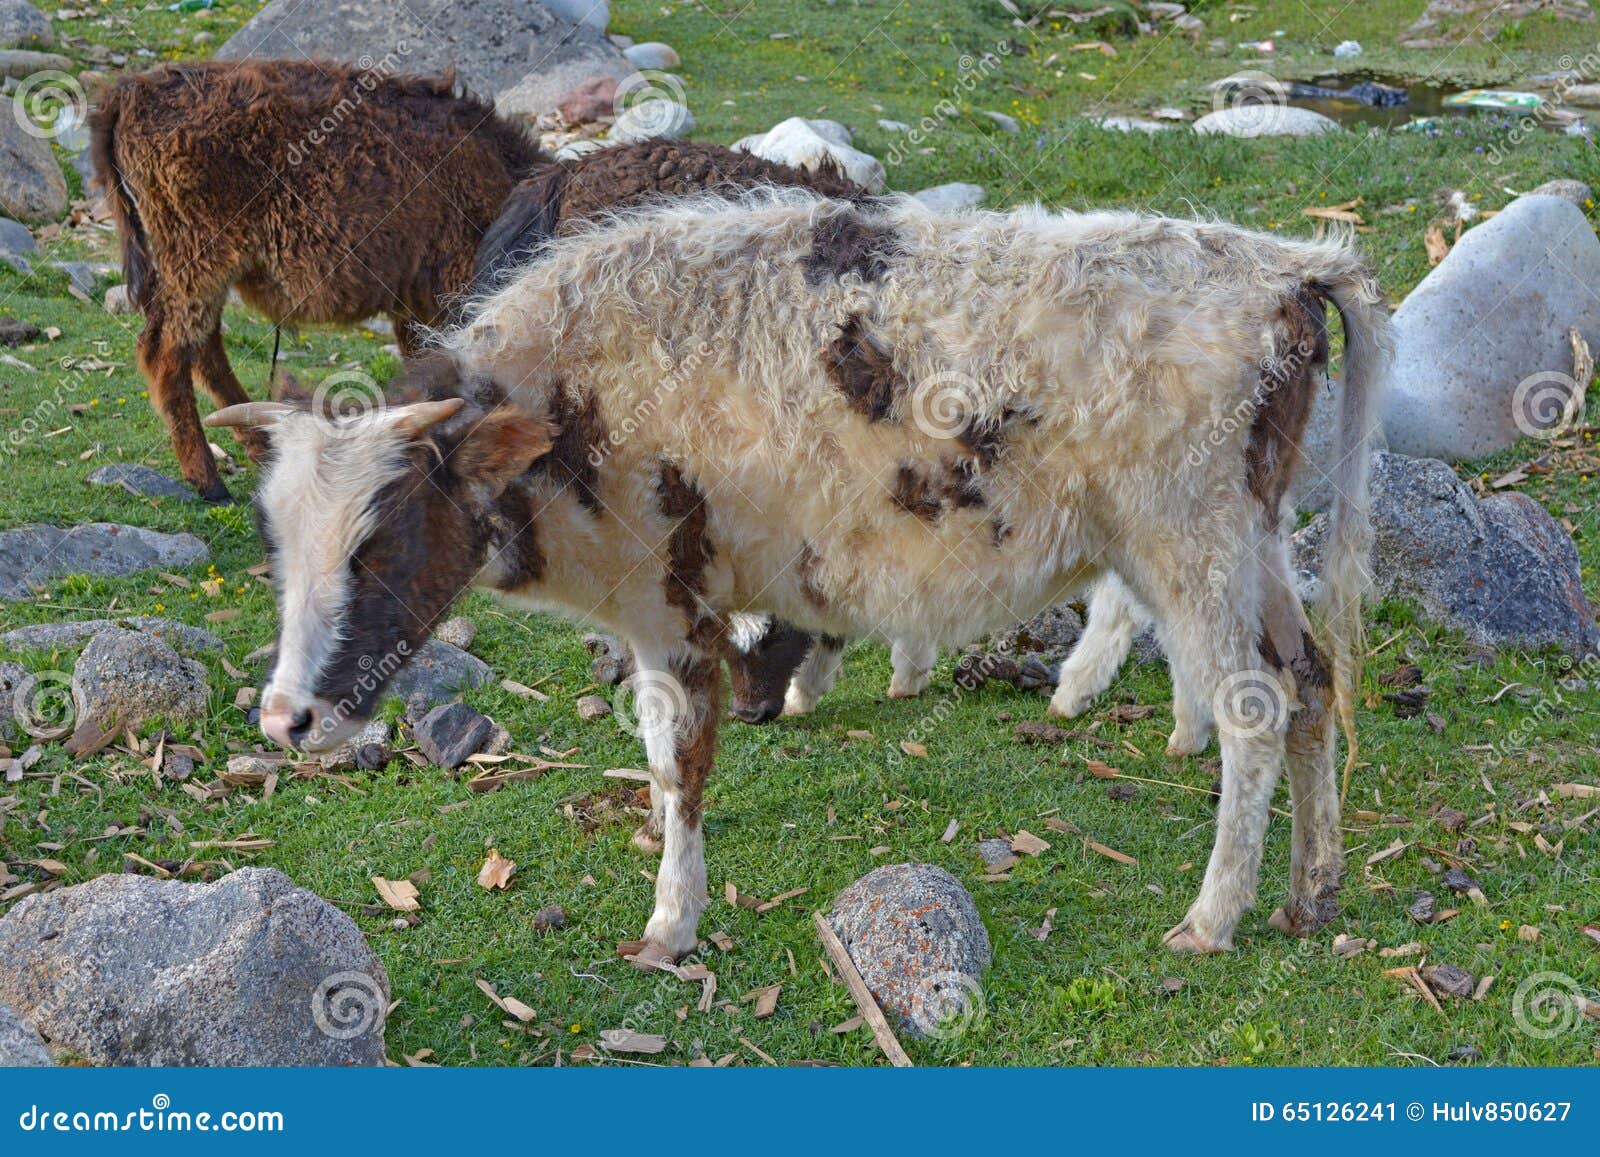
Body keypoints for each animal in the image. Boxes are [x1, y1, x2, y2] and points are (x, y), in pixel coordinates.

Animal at [208, 190, 1389, 967]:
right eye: (282, 544)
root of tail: (1280, 270)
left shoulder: (670, 606)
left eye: (380, 544)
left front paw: (670, 923)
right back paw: (1312, 891)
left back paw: (1215, 915)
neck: (568, 401)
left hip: (1189, 547)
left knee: (1250, 711)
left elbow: (678, 764)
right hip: (1253, 542)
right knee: (1312, 684)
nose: (285, 718)